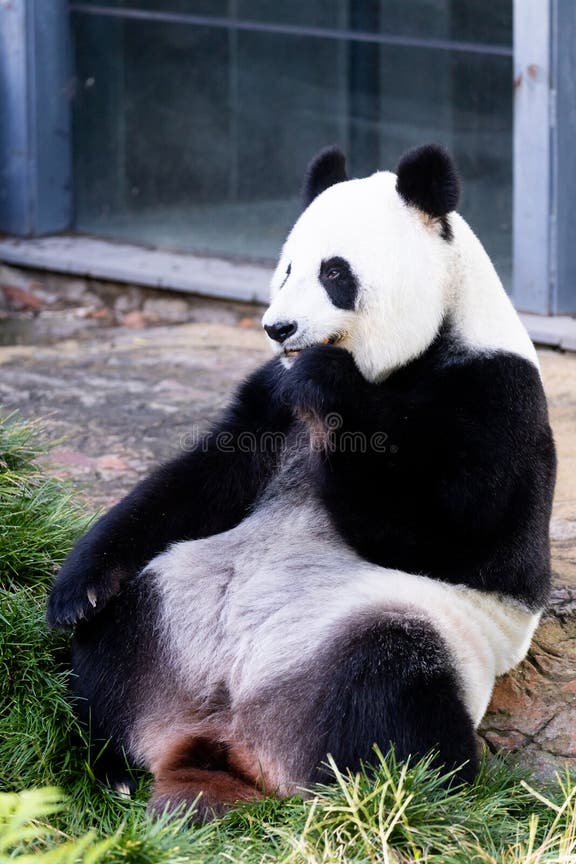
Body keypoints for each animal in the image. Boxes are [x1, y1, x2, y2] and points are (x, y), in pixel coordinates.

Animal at [47, 144, 556, 821]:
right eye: (286, 269)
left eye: (335, 273)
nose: (279, 329)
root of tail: (223, 732)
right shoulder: (270, 398)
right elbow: (203, 480)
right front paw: (76, 590)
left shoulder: (493, 391)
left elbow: (458, 532)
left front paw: (330, 385)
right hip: (167, 609)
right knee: (110, 654)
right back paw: (113, 768)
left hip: (392, 638)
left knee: (392, 697)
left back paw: (383, 795)